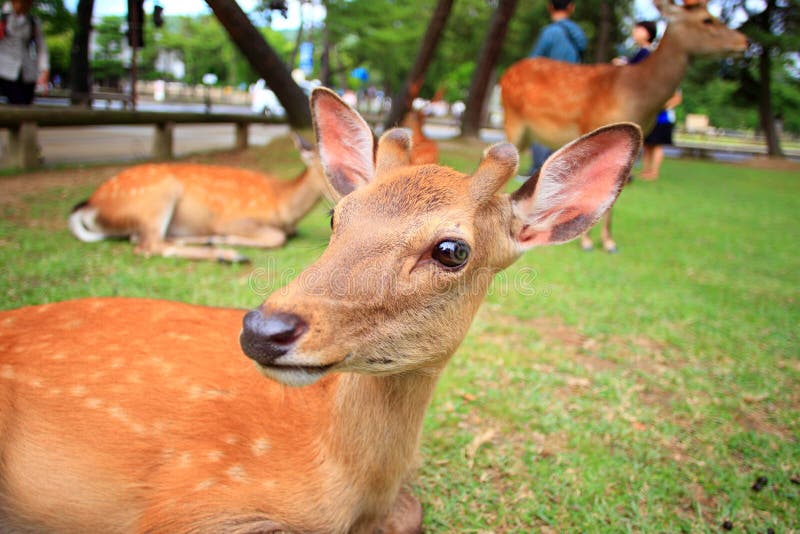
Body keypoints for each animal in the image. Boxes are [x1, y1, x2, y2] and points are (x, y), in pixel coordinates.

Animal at [68, 134, 328, 263]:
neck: (283, 205)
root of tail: (89, 205)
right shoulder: (233, 218)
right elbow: (277, 237)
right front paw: (227, 239)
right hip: (158, 194)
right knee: (148, 245)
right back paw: (229, 254)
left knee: (144, 239)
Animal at [499, 0, 748, 252]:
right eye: (707, 20)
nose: (744, 41)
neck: (636, 98)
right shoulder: (595, 122)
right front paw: (588, 241)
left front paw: (609, 241)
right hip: (513, 120)